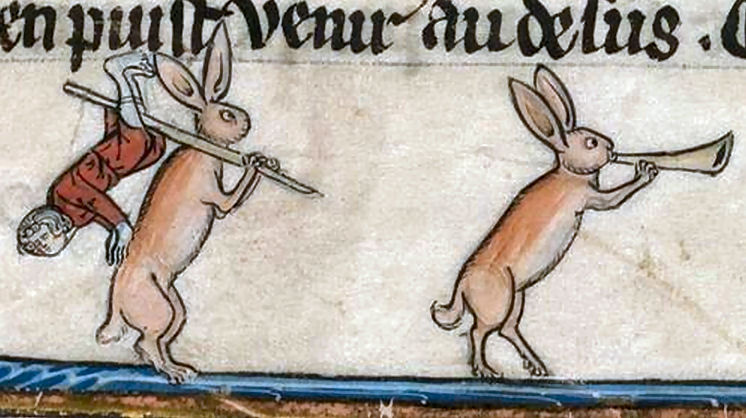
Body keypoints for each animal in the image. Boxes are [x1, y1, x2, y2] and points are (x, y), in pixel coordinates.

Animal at [95, 21, 269, 383]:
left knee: (151, 343)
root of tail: (114, 298)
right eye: (227, 114)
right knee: (145, 343)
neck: (204, 149)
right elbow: (233, 198)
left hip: (173, 305)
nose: (247, 122)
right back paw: (176, 374)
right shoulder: (214, 195)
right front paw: (255, 162)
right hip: (157, 307)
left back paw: (181, 368)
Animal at [431, 65, 659, 379]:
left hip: (517, 297)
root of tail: (461, 285)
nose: (613, 150)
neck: (570, 173)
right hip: (498, 302)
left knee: (507, 330)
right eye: (591, 143)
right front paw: (644, 172)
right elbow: (615, 198)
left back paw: (537, 366)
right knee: (479, 332)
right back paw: (486, 370)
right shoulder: (589, 199)